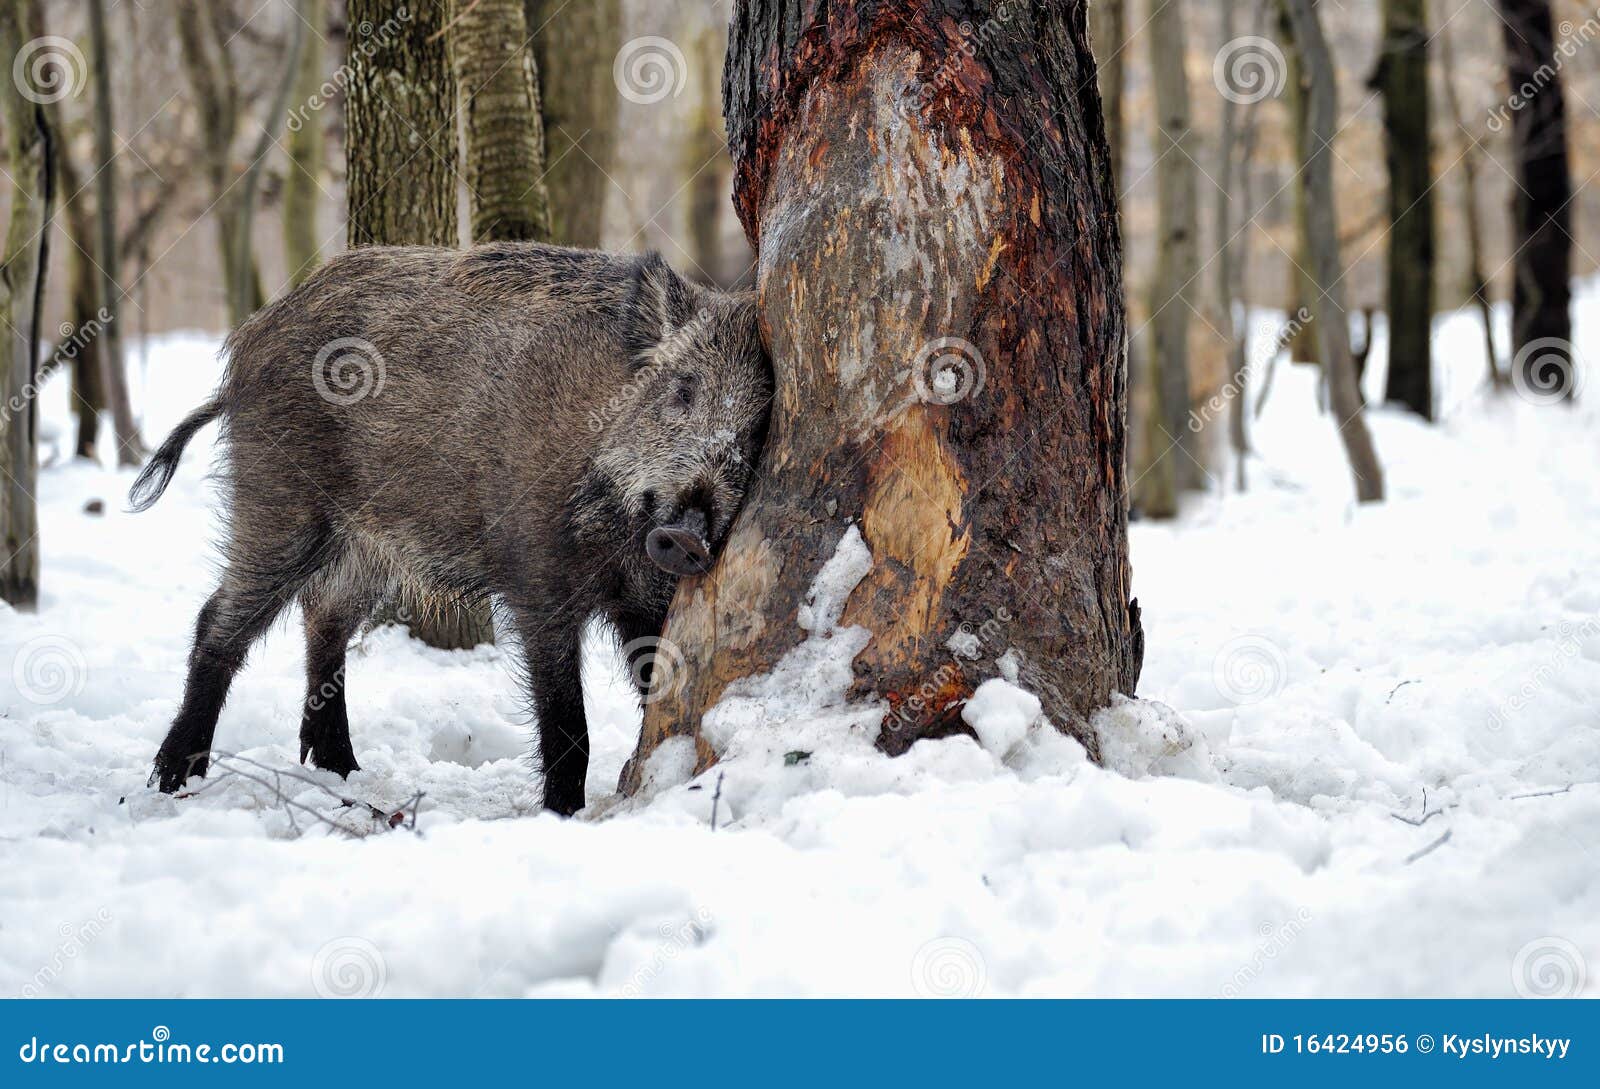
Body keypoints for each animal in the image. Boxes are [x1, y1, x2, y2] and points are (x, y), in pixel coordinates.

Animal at [129, 243, 772, 815]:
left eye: (759, 427)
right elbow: (567, 722)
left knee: (325, 618)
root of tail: (250, 340)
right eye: (683, 389)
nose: (685, 535)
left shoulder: (644, 598)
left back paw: (343, 771)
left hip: (366, 545)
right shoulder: (538, 584)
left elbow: (656, 682)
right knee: (220, 621)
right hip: (278, 503)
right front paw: (562, 815)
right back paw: (175, 778)